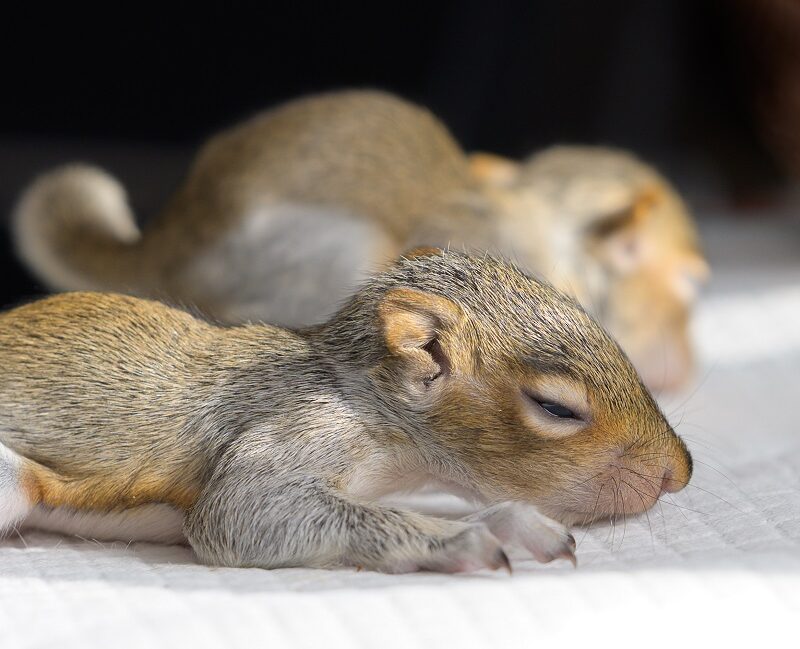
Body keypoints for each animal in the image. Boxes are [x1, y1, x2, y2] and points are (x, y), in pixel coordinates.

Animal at [0, 250, 691, 572]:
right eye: (555, 407)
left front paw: (508, 522)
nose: (678, 475)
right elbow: (242, 510)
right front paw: (458, 538)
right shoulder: (301, 429)